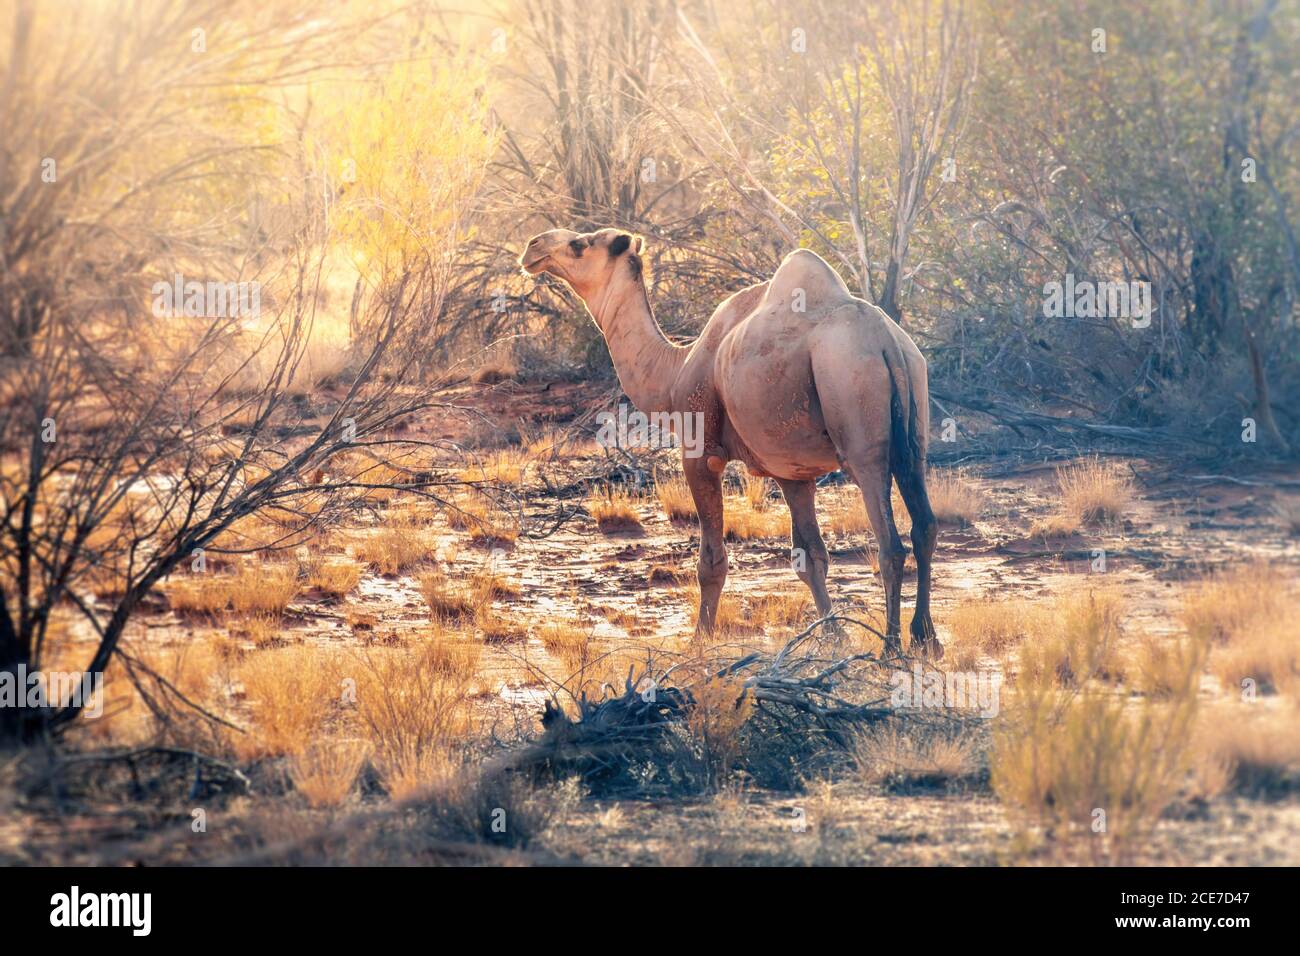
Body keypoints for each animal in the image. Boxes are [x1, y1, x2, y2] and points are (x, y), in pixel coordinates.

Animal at [520, 227, 941, 659]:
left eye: (581, 244)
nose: (534, 246)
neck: (674, 372)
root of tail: (885, 341)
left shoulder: (700, 452)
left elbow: (711, 561)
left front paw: (699, 640)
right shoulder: (792, 472)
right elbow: (811, 558)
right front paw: (833, 636)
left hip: (856, 419)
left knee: (890, 543)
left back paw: (890, 647)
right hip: (913, 433)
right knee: (924, 526)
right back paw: (926, 637)